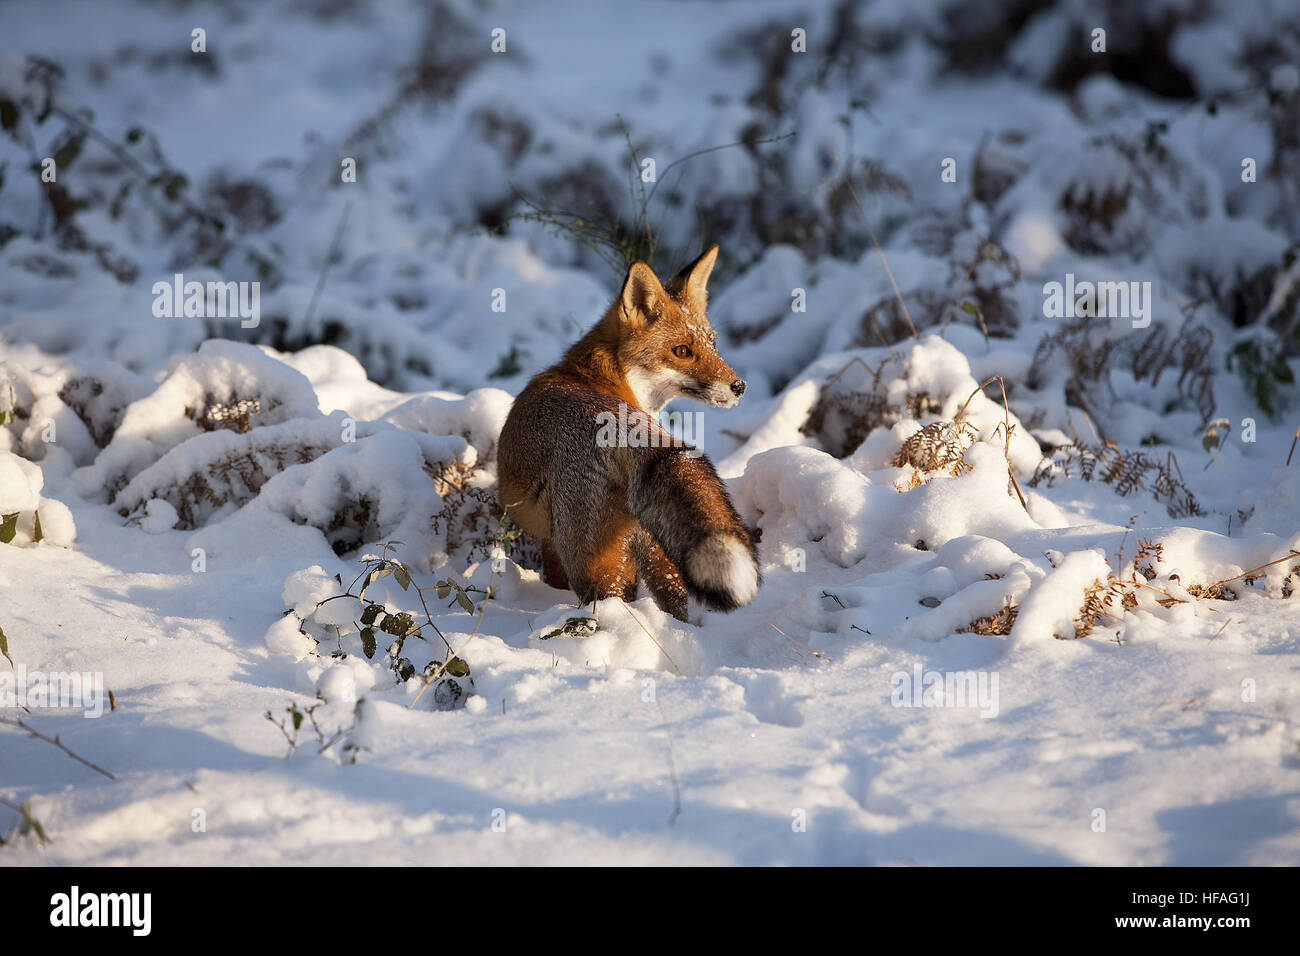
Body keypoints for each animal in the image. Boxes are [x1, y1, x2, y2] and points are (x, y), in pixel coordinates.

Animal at [497, 244, 760, 622]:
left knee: (609, 603)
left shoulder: (551, 543)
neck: (601, 376)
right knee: (675, 602)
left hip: (592, 563)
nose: (739, 386)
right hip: (653, 552)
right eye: (682, 351)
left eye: (712, 344)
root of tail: (625, 431)